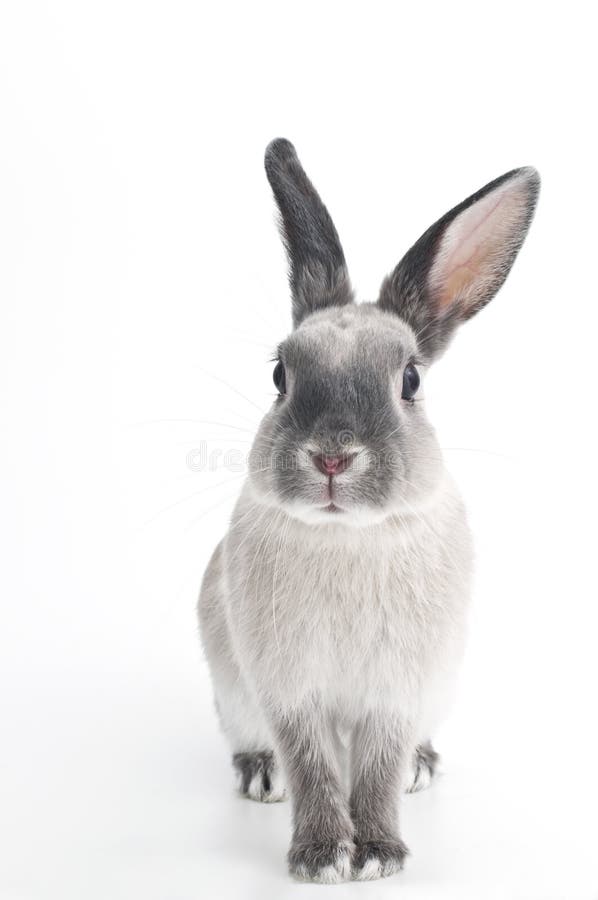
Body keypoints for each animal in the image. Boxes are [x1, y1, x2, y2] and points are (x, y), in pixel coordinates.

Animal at [198, 138, 539, 883]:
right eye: (280, 374)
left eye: (409, 380)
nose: (331, 458)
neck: (346, 537)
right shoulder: (289, 690)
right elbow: (314, 769)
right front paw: (323, 857)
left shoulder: (397, 692)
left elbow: (377, 771)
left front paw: (379, 854)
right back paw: (261, 774)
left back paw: (421, 767)